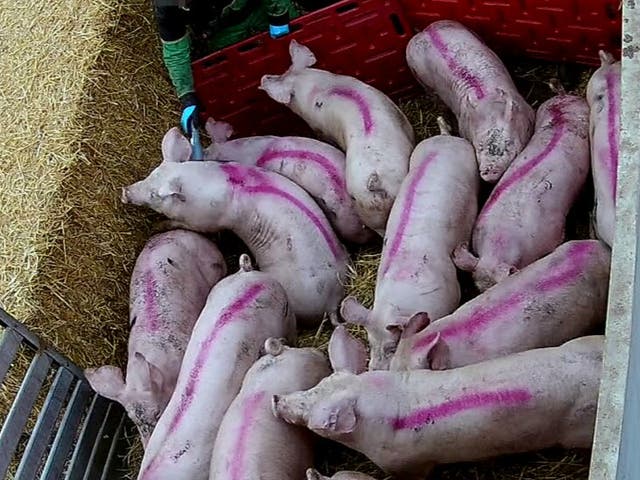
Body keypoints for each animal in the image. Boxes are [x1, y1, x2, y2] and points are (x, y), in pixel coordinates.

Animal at [122, 126, 349, 327]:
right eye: (151, 174)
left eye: (155, 195)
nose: (125, 191)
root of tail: (333, 300)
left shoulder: (206, 221)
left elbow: (185, 225)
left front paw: (157, 226)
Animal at [406, 20, 535, 182]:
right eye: (480, 146)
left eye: (508, 143)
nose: (489, 171)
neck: (489, 103)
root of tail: (425, 30)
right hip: (420, 77)